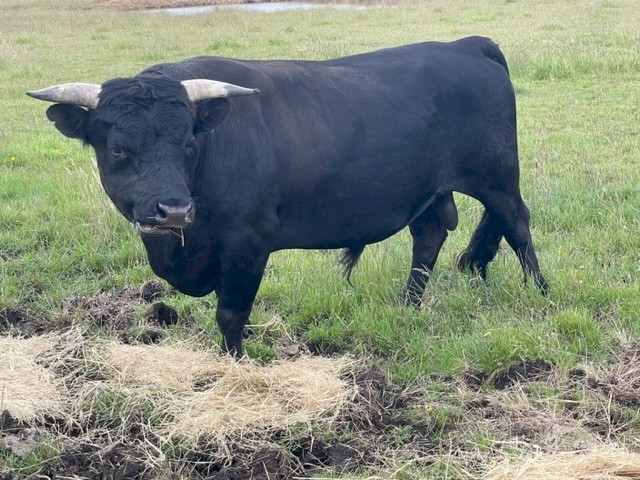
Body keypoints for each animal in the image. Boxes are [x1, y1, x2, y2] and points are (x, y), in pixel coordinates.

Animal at [29, 36, 548, 357]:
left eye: (189, 143)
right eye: (118, 148)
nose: (173, 209)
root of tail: (465, 45)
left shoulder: (247, 243)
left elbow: (231, 313)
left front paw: (233, 365)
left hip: (497, 178)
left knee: (517, 225)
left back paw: (541, 294)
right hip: (426, 190)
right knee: (430, 237)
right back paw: (408, 305)